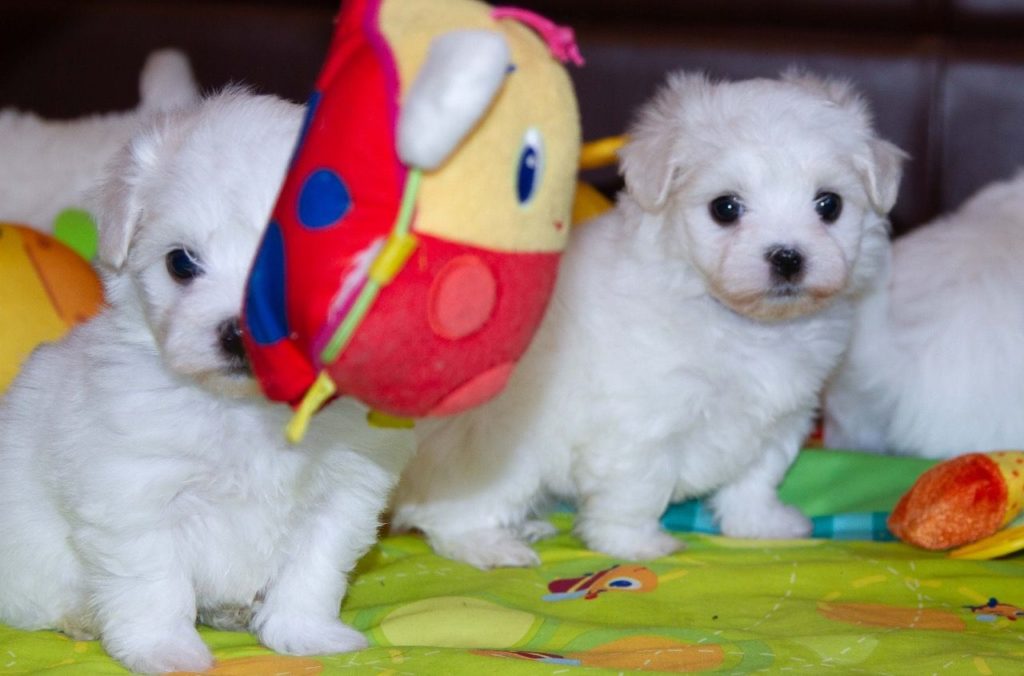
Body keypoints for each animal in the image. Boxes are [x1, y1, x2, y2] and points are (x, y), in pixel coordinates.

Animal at [1, 88, 415, 671]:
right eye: (181, 263)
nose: (240, 333)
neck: (249, 411)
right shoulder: (135, 493)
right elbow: (153, 582)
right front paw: (165, 651)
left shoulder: (343, 492)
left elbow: (313, 571)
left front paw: (305, 634)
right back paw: (83, 617)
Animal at [391, 71, 905, 569]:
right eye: (725, 208)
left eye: (829, 204)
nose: (787, 257)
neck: (739, 321)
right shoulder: (640, 424)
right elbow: (639, 488)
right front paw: (633, 544)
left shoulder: (782, 418)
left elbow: (757, 477)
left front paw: (760, 524)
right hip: (494, 444)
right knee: (449, 513)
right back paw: (493, 546)